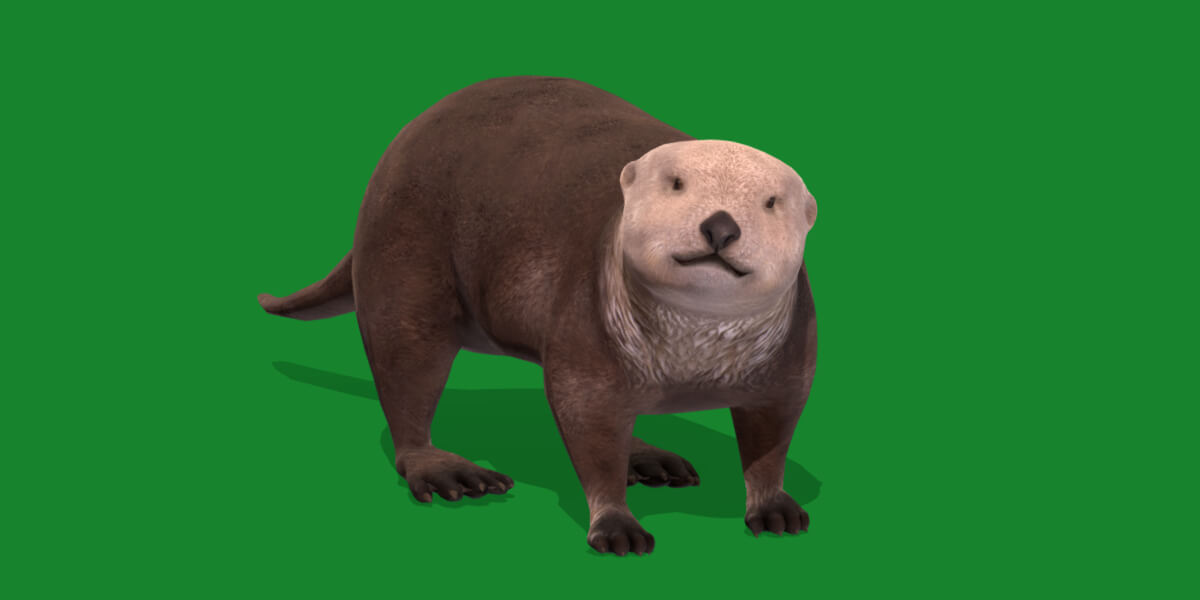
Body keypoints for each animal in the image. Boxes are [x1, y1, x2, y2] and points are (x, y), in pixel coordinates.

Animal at [258, 76, 818, 556]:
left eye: (771, 202)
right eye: (676, 184)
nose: (721, 225)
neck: (691, 361)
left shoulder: (791, 352)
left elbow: (773, 433)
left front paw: (774, 506)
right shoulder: (586, 322)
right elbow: (587, 423)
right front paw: (615, 525)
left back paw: (648, 457)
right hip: (404, 251)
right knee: (405, 371)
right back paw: (448, 471)